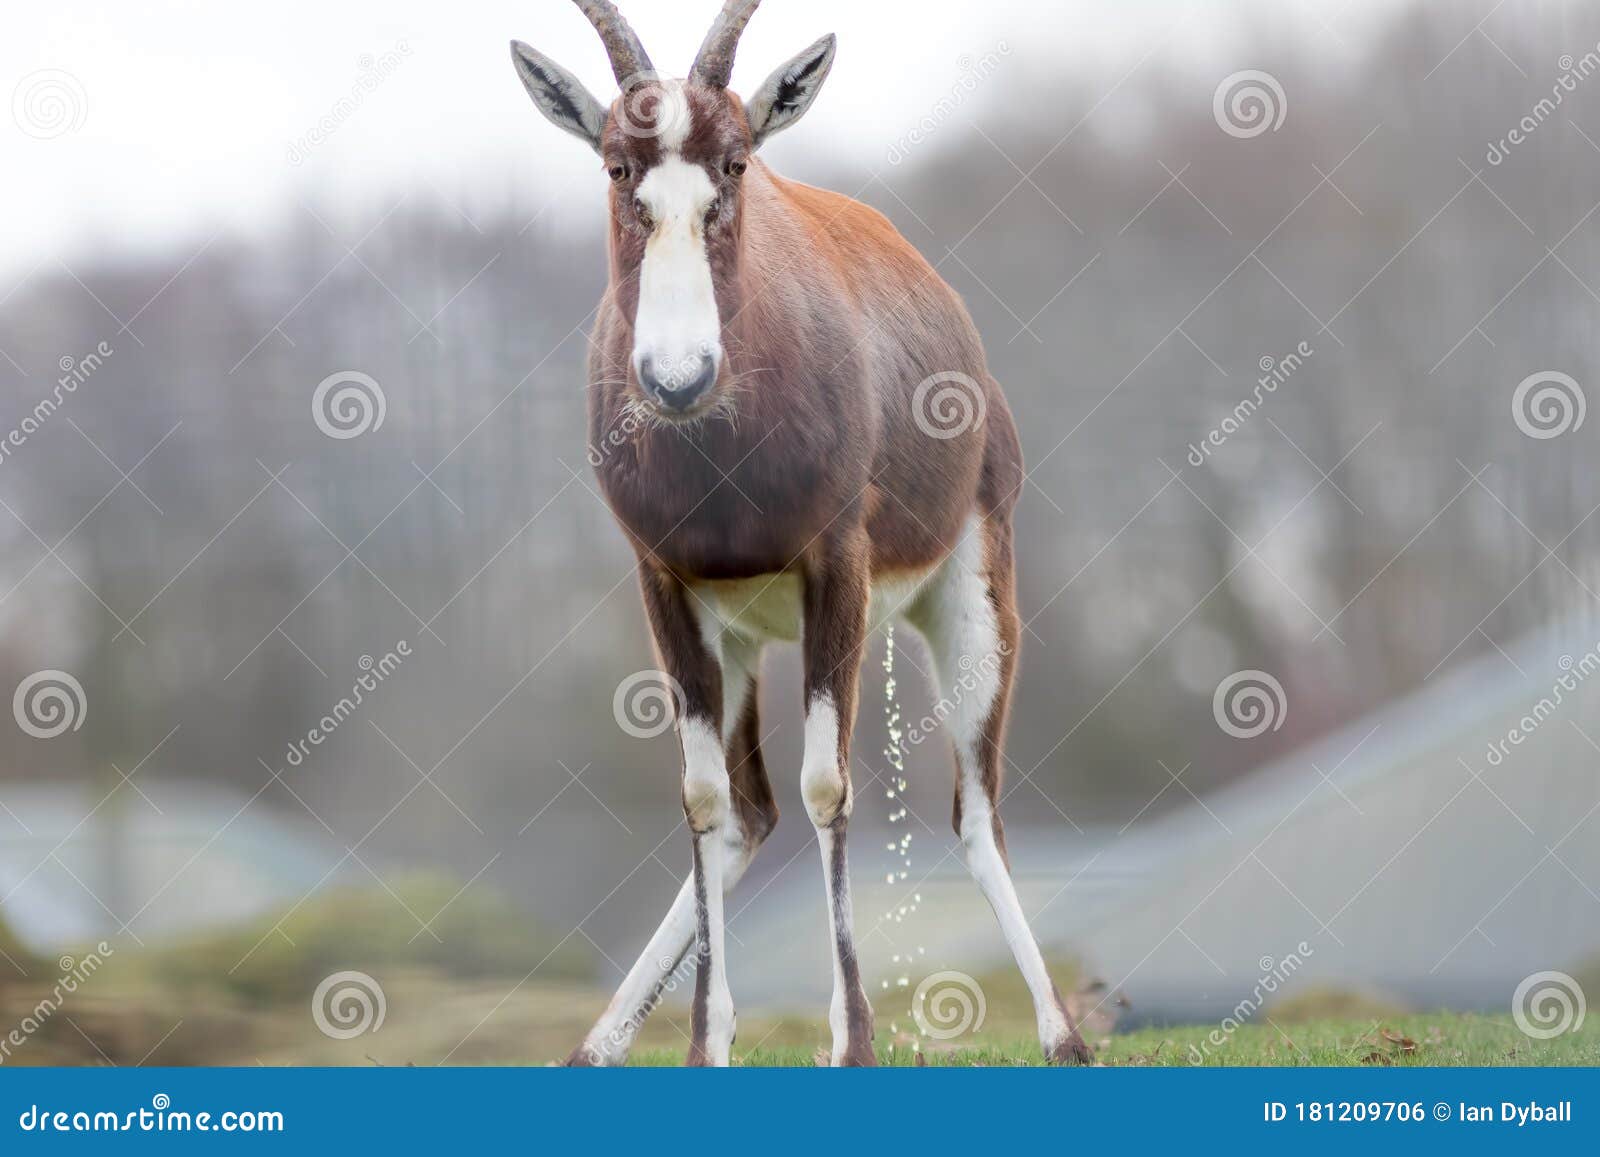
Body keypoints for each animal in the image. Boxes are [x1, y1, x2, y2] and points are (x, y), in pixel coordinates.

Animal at [510, 0, 1093, 1067]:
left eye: (737, 160)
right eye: (615, 164)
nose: (678, 378)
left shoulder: (839, 569)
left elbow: (830, 786)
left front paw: (852, 1041)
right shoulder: (664, 585)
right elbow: (703, 799)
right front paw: (705, 1046)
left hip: (974, 594)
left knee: (976, 806)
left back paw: (1062, 1035)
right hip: (737, 635)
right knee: (749, 810)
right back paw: (595, 1047)